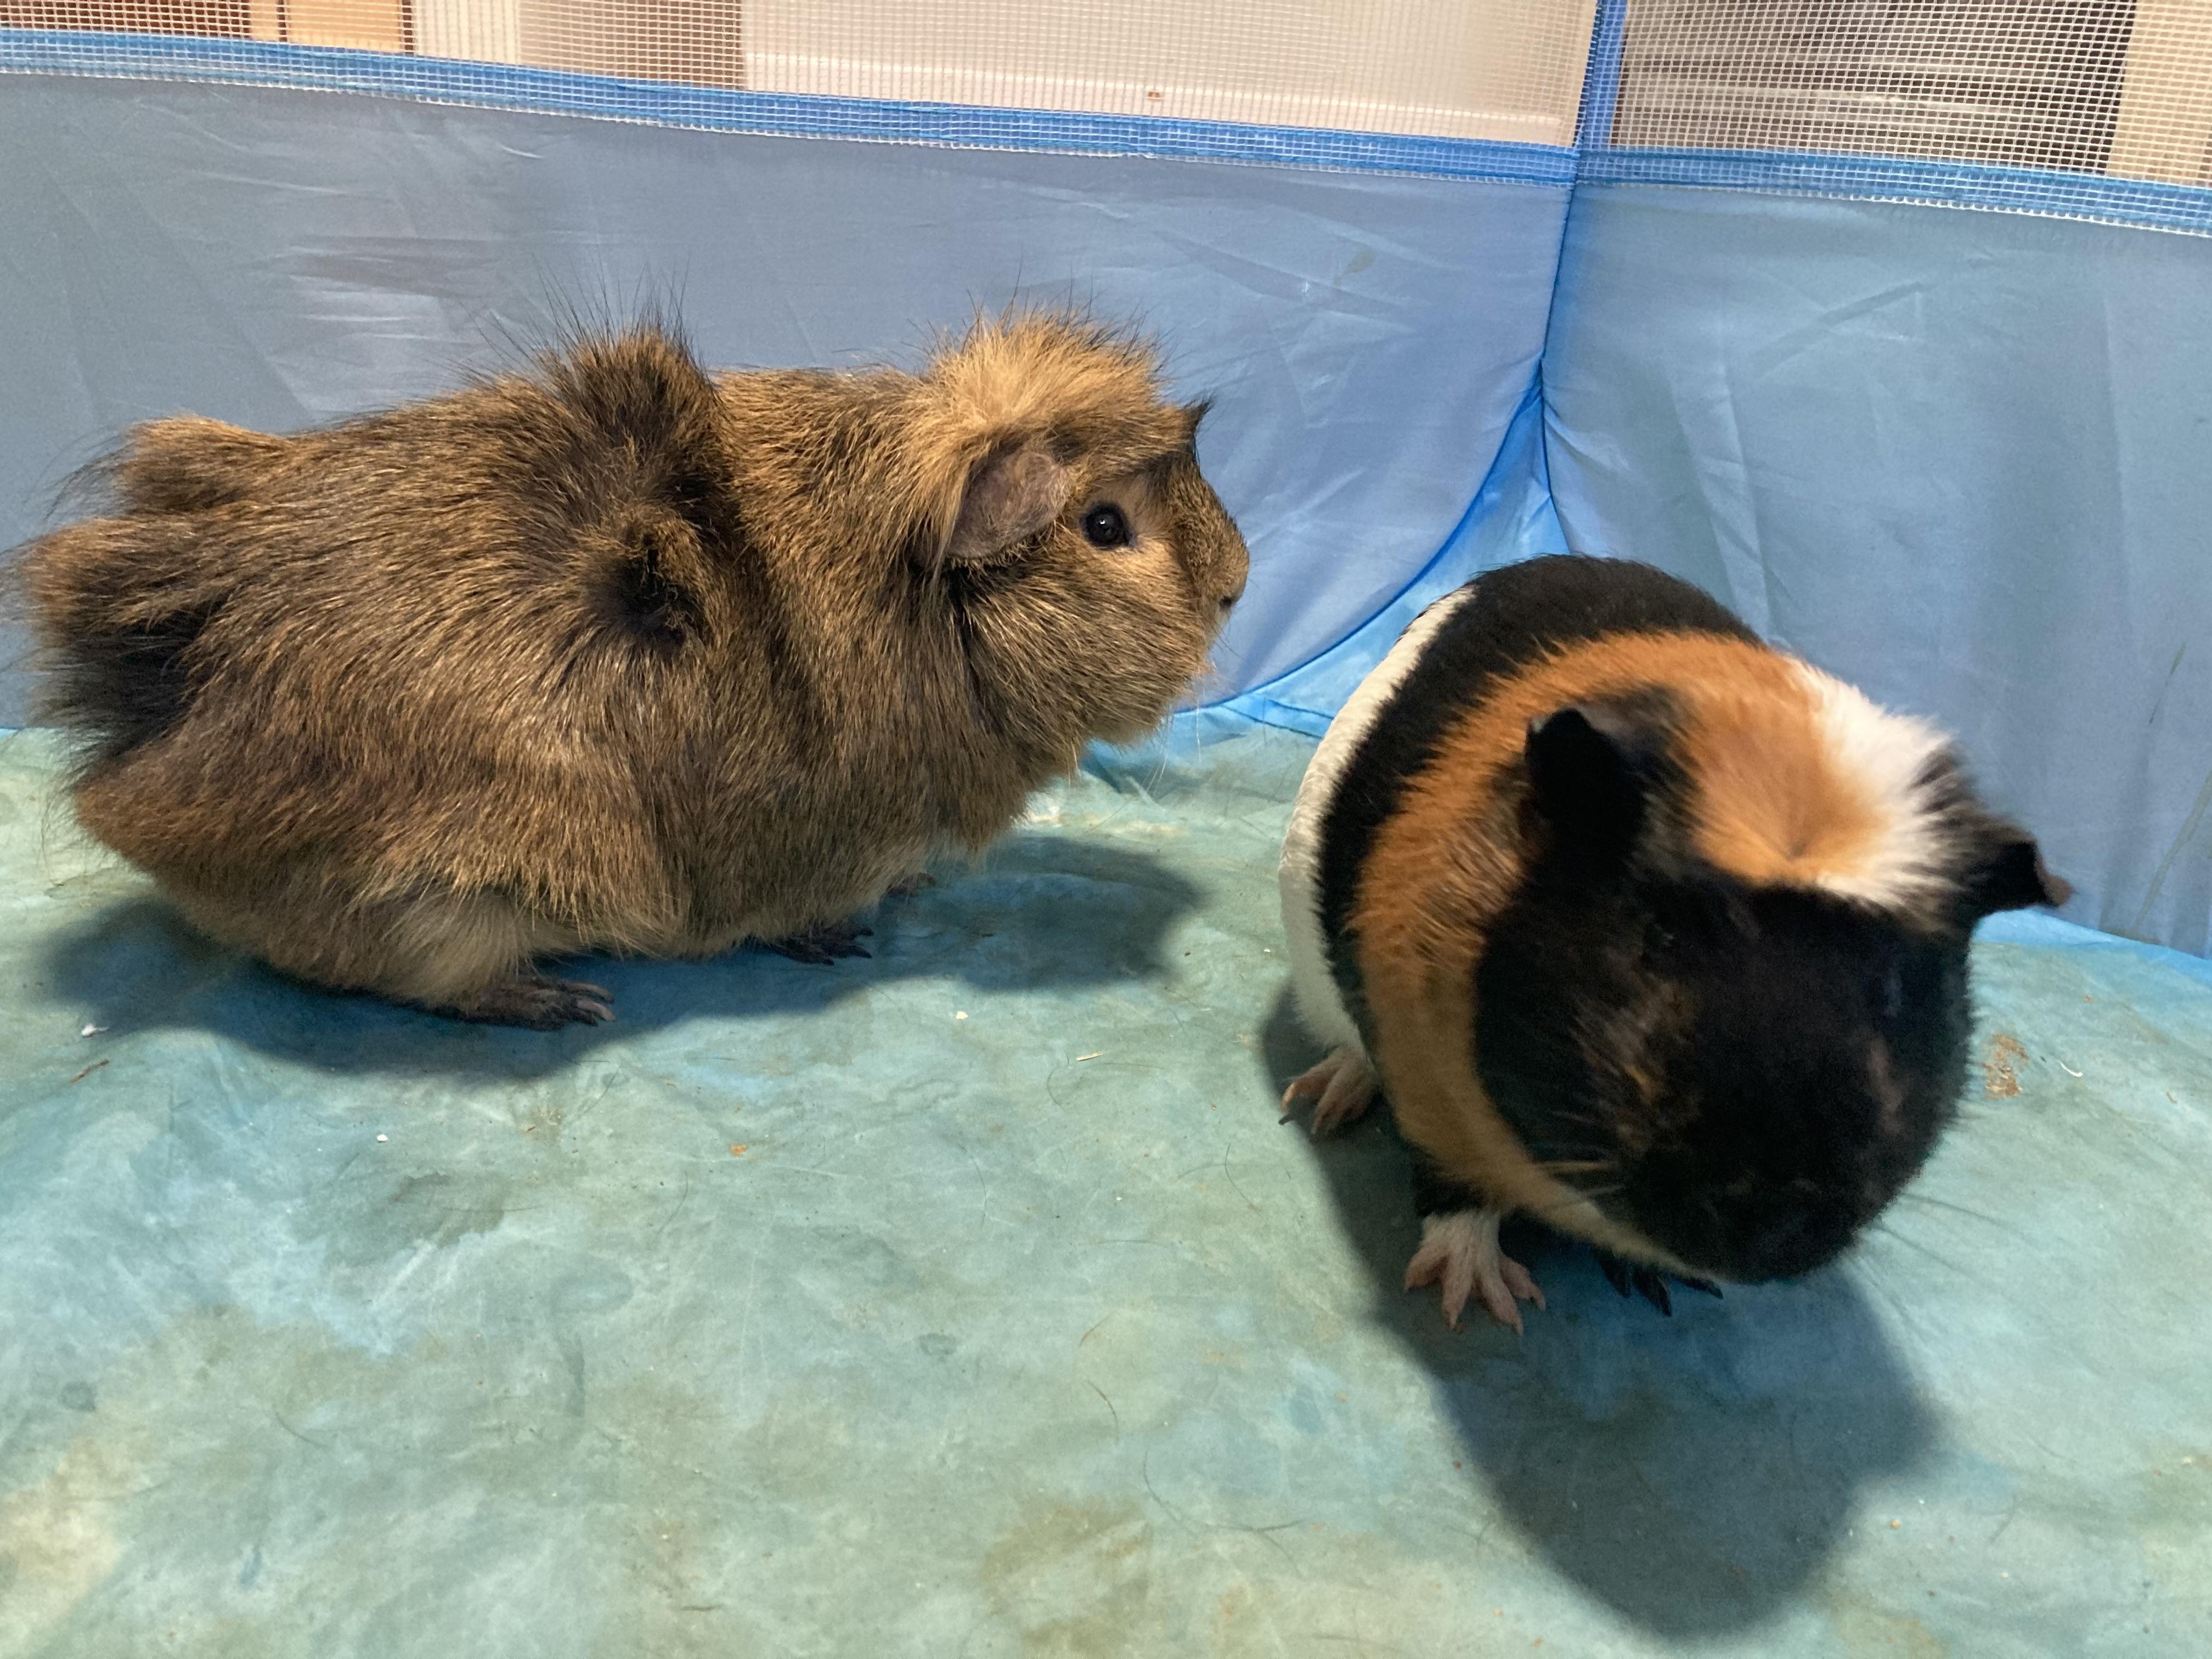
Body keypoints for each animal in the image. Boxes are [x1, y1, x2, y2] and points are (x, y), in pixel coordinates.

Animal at [1278, 554, 2067, 1330]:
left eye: (1896, 991)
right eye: (1657, 938)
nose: (1767, 1224)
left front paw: (1658, 1283)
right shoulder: (1425, 1083)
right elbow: (1455, 1197)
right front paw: (1483, 1303)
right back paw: (1323, 1103)